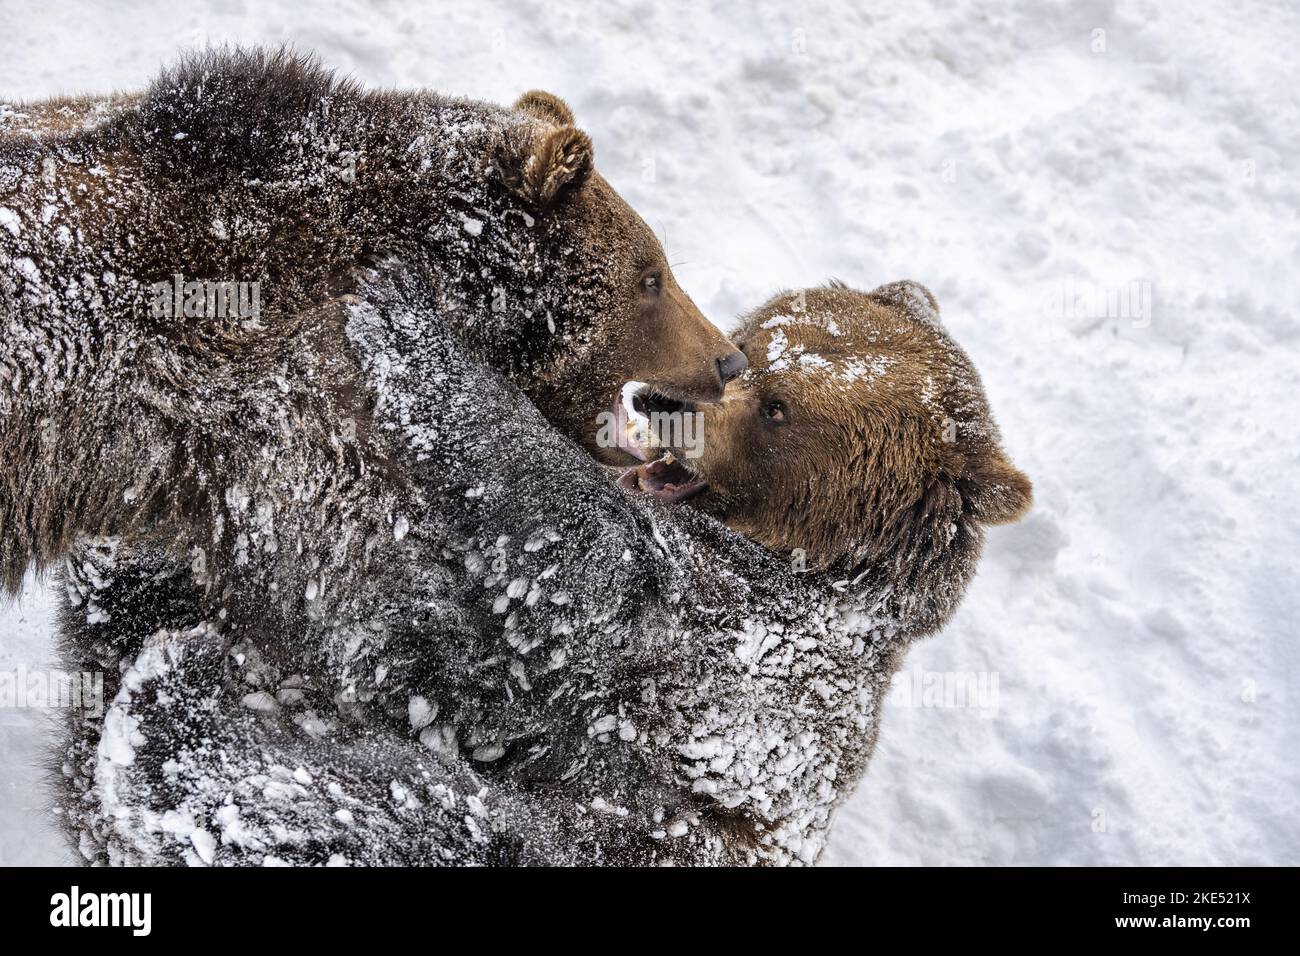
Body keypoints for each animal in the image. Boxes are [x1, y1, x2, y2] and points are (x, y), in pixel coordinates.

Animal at [59, 271, 1029, 866]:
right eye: (754, 346)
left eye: (781, 409)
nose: (661, 399)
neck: (808, 562)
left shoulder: (731, 657)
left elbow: (578, 556)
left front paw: (408, 319)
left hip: (588, 836)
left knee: (372, 815)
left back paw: (177, 701)